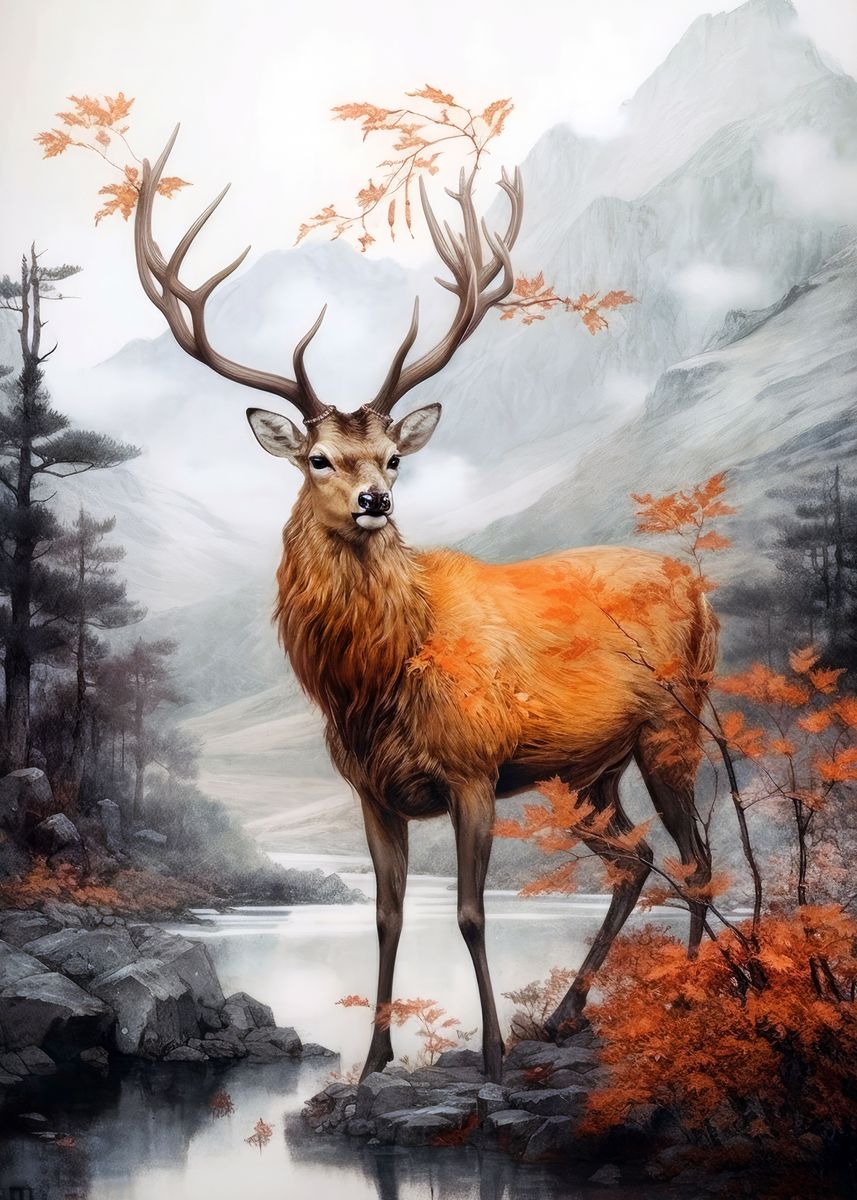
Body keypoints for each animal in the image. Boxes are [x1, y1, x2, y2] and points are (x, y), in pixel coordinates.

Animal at [134, 127, 717, 1084]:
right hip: (587, 770)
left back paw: (684, 998)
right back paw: (566, 1013)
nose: (376, 501)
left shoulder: (474, 768)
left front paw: (488, 1056)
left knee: (697, 857)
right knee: (635, 860)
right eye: (319, 459)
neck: (370, 685)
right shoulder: (371, 790)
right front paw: (373, 1061)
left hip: (674, 720)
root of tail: (701, 587)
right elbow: (388, 915)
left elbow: (472, 913)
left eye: (393, 458)